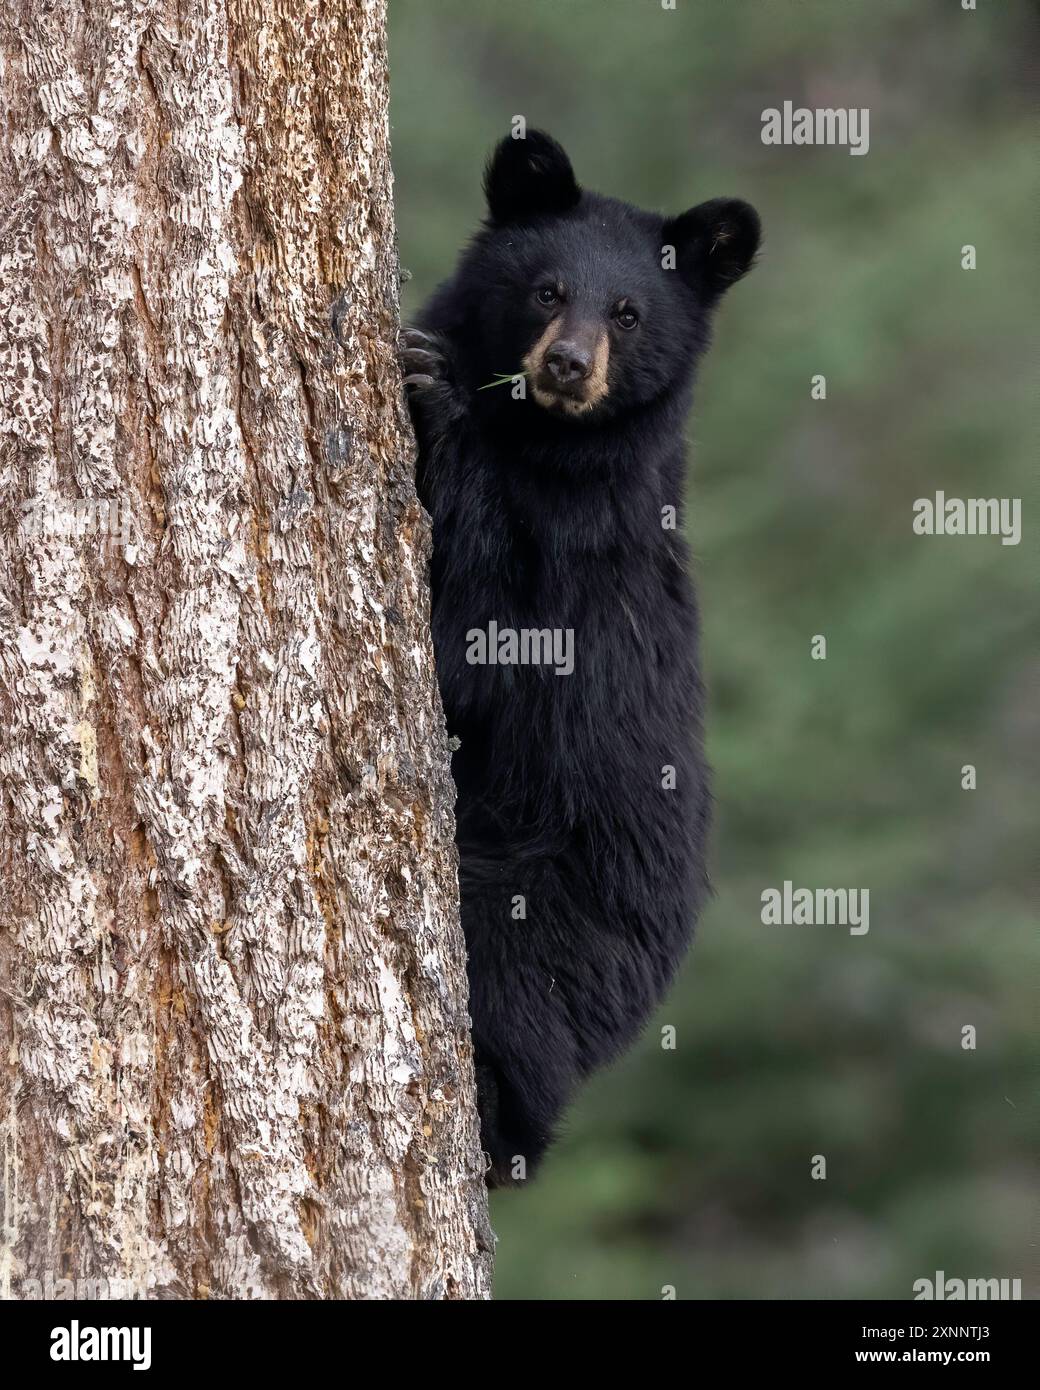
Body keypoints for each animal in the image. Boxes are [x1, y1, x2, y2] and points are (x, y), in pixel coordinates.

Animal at [401, 130, 760, 1186]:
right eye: (548, 288)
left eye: (630, 312)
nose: (565, 364)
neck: (543, 444)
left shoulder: (580, 568)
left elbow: (486, 644)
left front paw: (436, 399)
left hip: (547, 914)